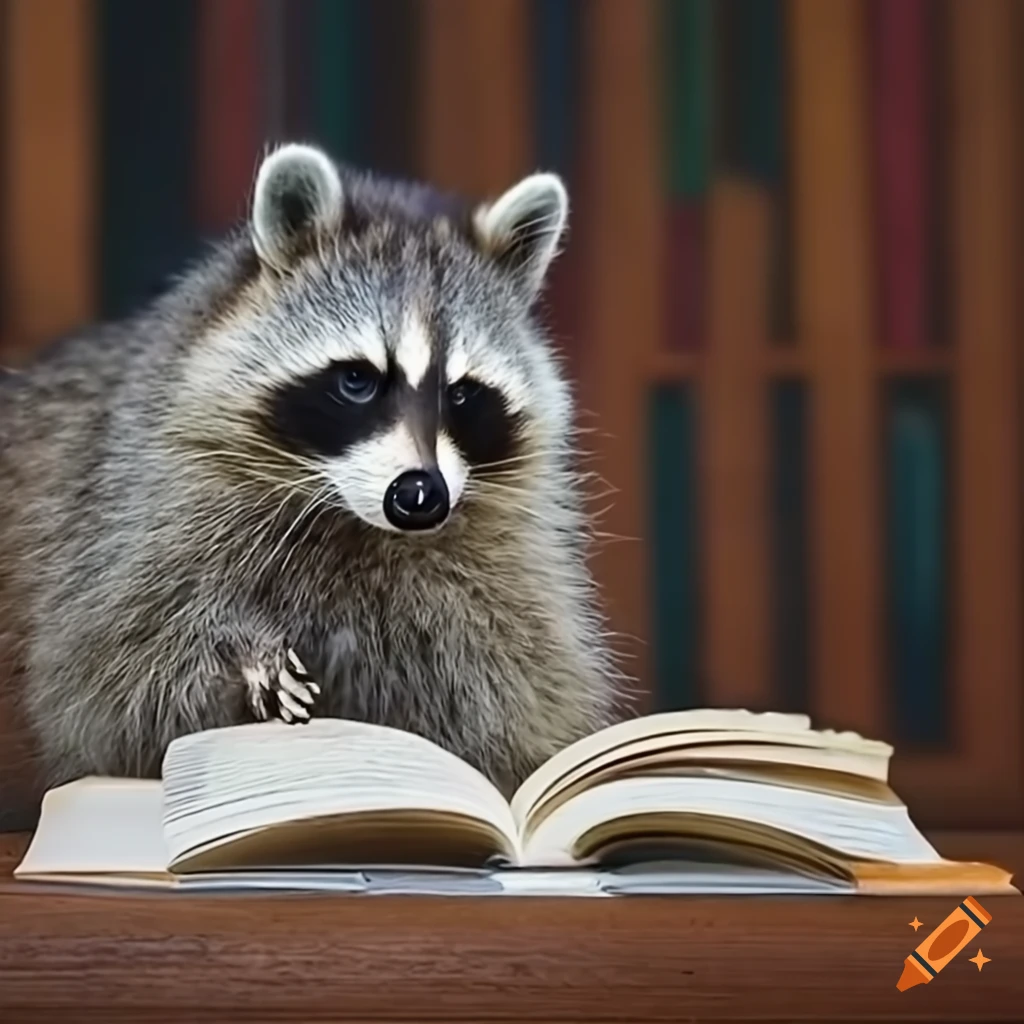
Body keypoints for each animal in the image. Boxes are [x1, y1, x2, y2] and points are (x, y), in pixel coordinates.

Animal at [0, 143, 624, 797]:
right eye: (357, 380)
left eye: (460, 395)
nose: (419, 495)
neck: (353, 518)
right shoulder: (132, 521)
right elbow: (114, 691)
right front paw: (243, 658)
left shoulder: (505, 581)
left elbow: (519, 701)